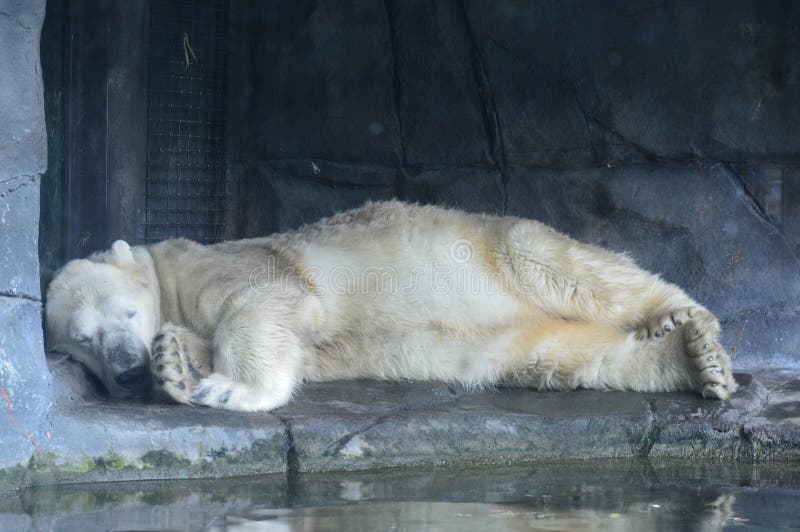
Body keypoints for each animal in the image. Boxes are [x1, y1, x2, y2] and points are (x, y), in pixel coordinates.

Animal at [45, 201, 737, 412]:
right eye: (81, 343)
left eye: (124, 314)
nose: (125, 370)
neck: (166, 277)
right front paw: (173, 364)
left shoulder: (220, 266)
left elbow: (268, 300)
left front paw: (227, 388)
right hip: (515, 341)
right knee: (569, 358)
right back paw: (693, 361)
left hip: (509, 248)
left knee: (577, 272)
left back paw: (685, 319)